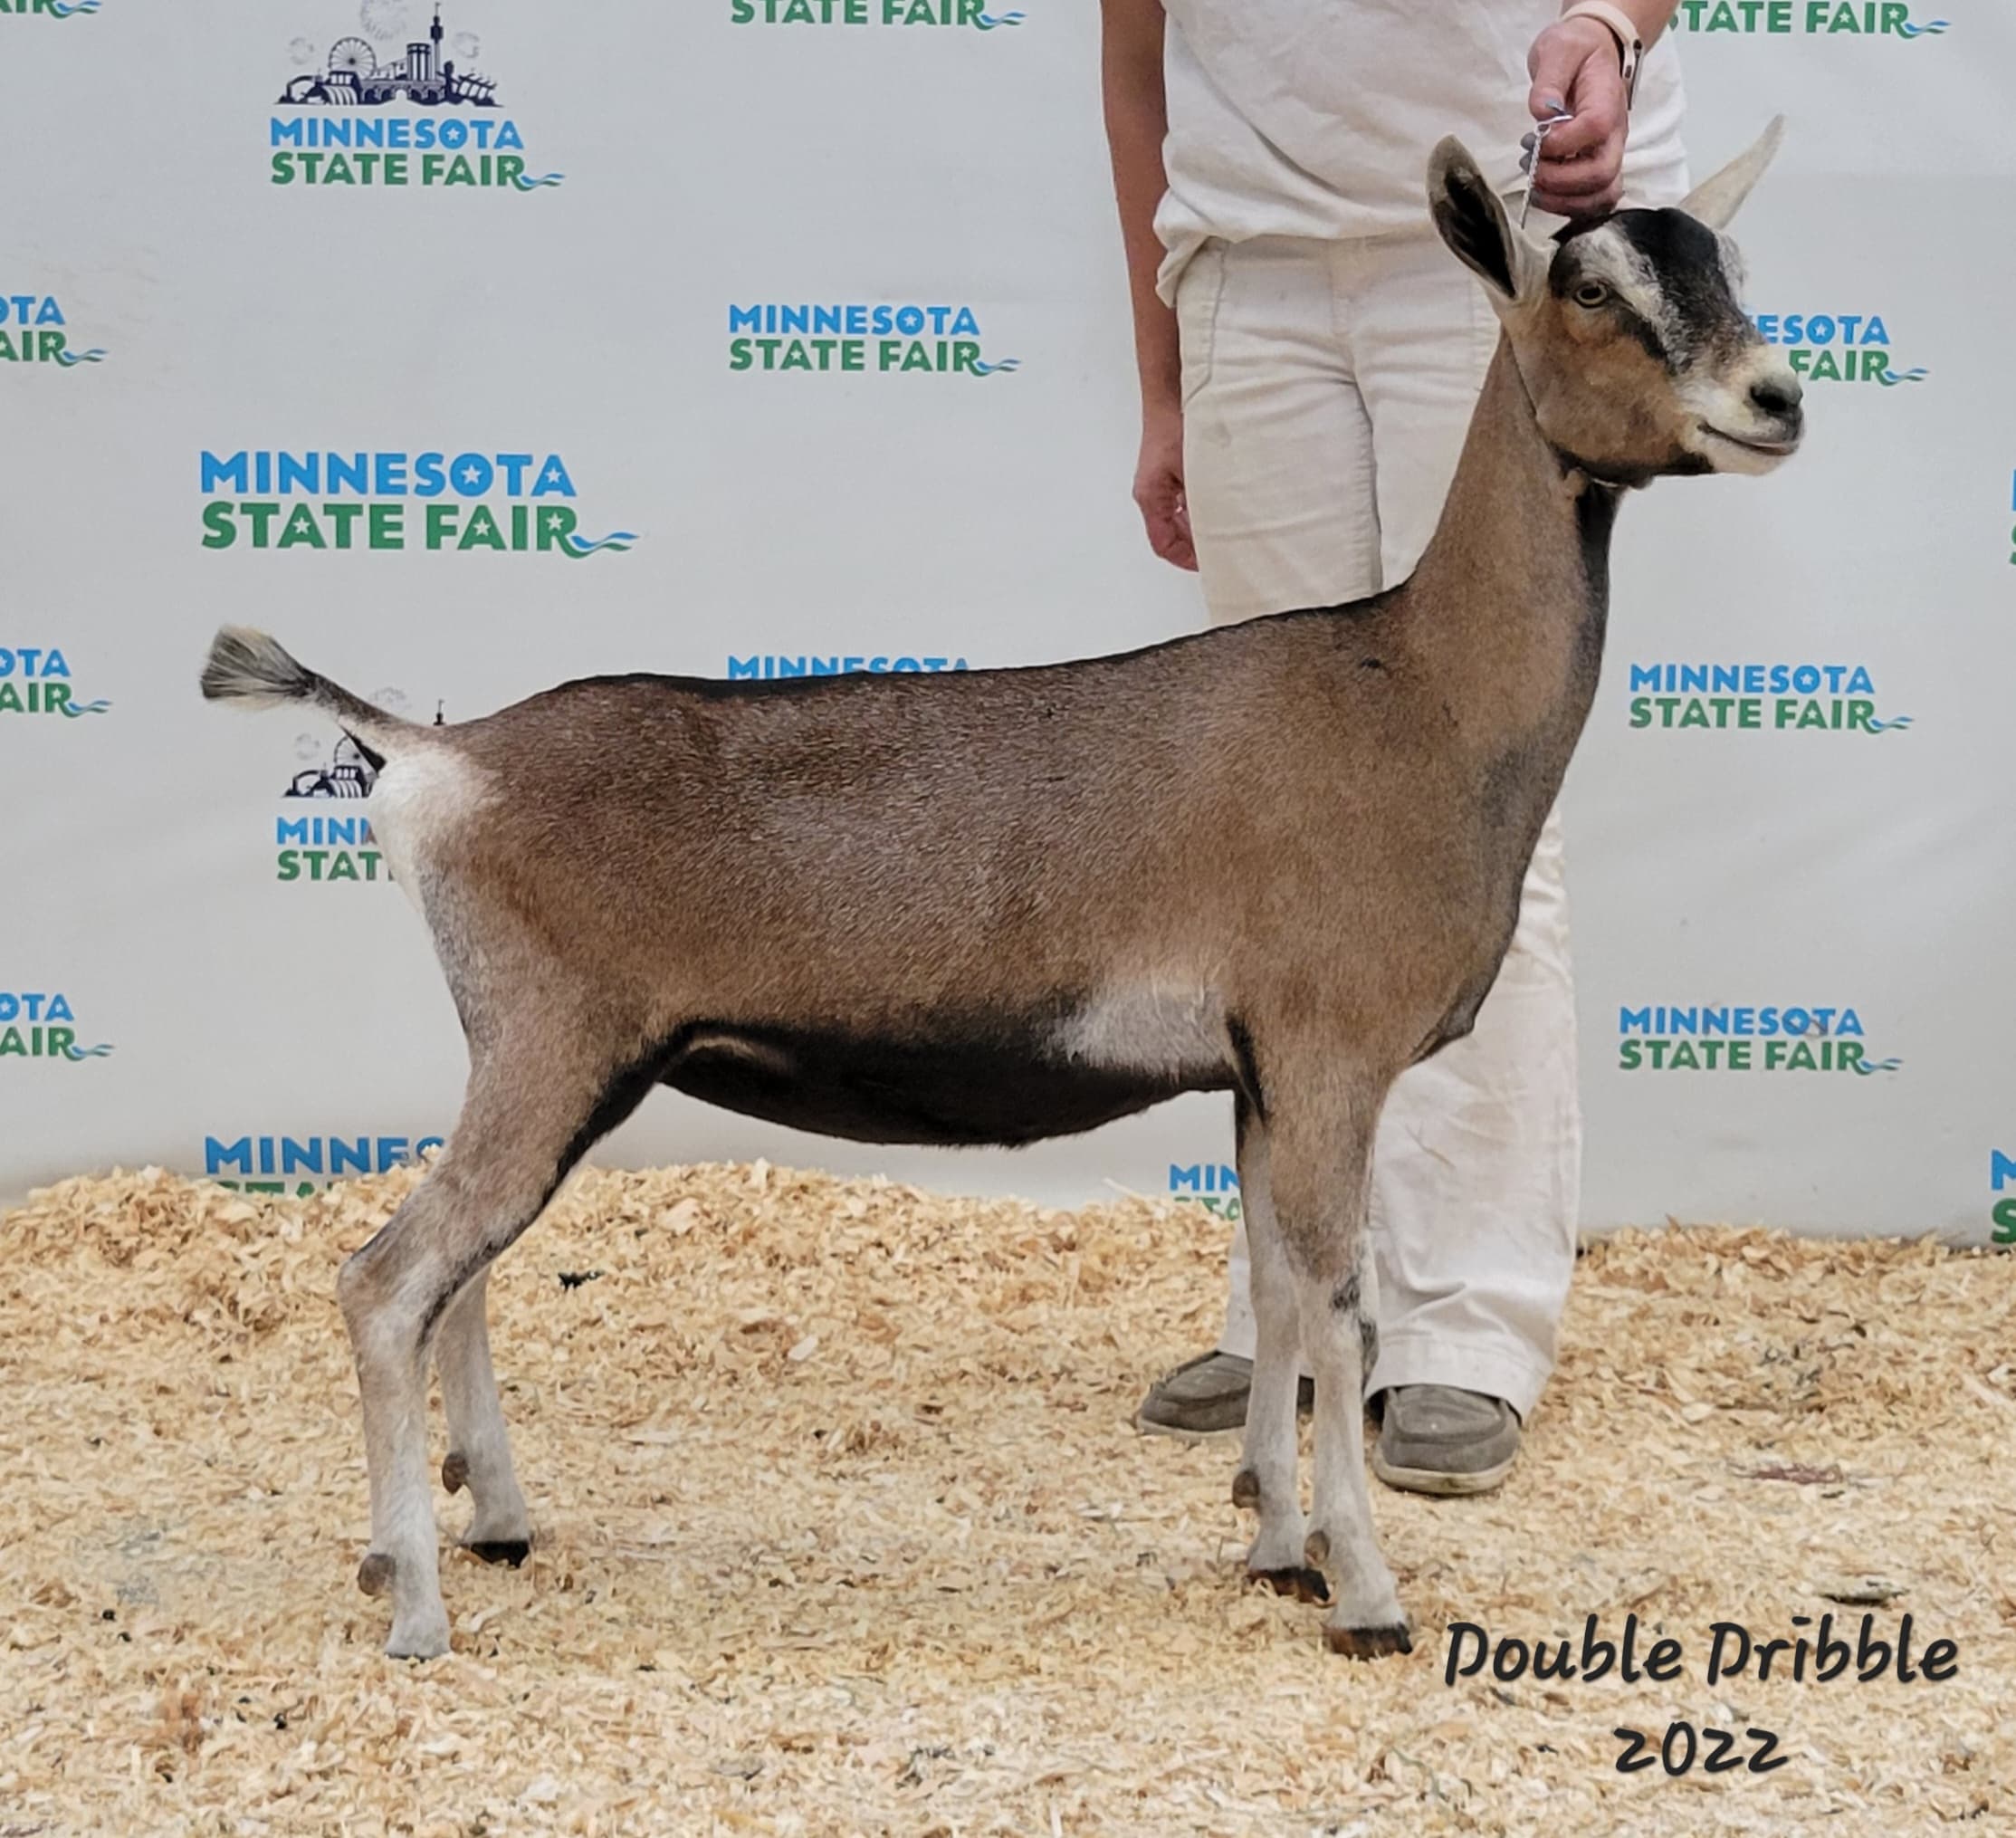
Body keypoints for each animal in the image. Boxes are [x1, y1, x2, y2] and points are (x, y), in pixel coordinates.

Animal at [201, 124, 1800, 1661]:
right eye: (1586, 286)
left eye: (1725, 265)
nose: (1774, 397)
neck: (1413, 690)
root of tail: (437, 755)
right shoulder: (1328, 1055)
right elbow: (1338, 1313)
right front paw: (1363, 1590)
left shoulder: (1257, 1075)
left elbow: (1280, 1293)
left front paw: (1276, 1542)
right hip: (553, 1046)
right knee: (390, 1279)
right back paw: (414, 1600)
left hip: (535, 1057)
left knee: (457, 1276)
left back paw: (495, 1521)